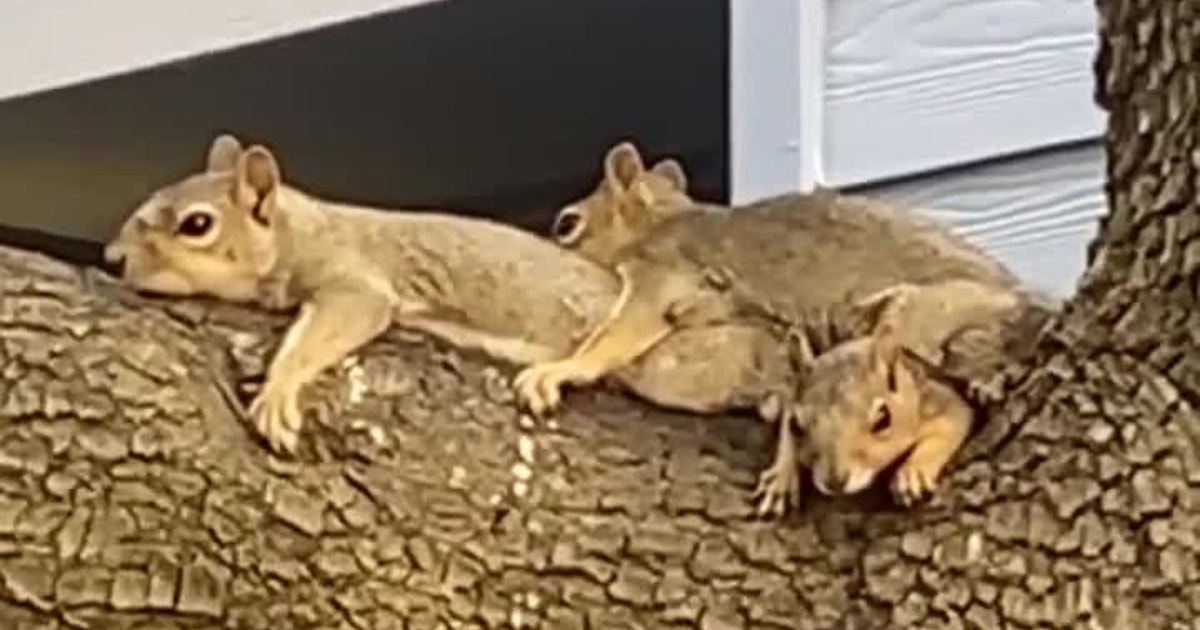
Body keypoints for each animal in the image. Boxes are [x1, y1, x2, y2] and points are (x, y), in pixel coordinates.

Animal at [101, 134, 797, 454]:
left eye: (197, 225)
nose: (112, 259)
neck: (307, 223)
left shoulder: (355, 276)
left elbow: (343, 317)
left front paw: (277, 391)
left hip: (679, 363)